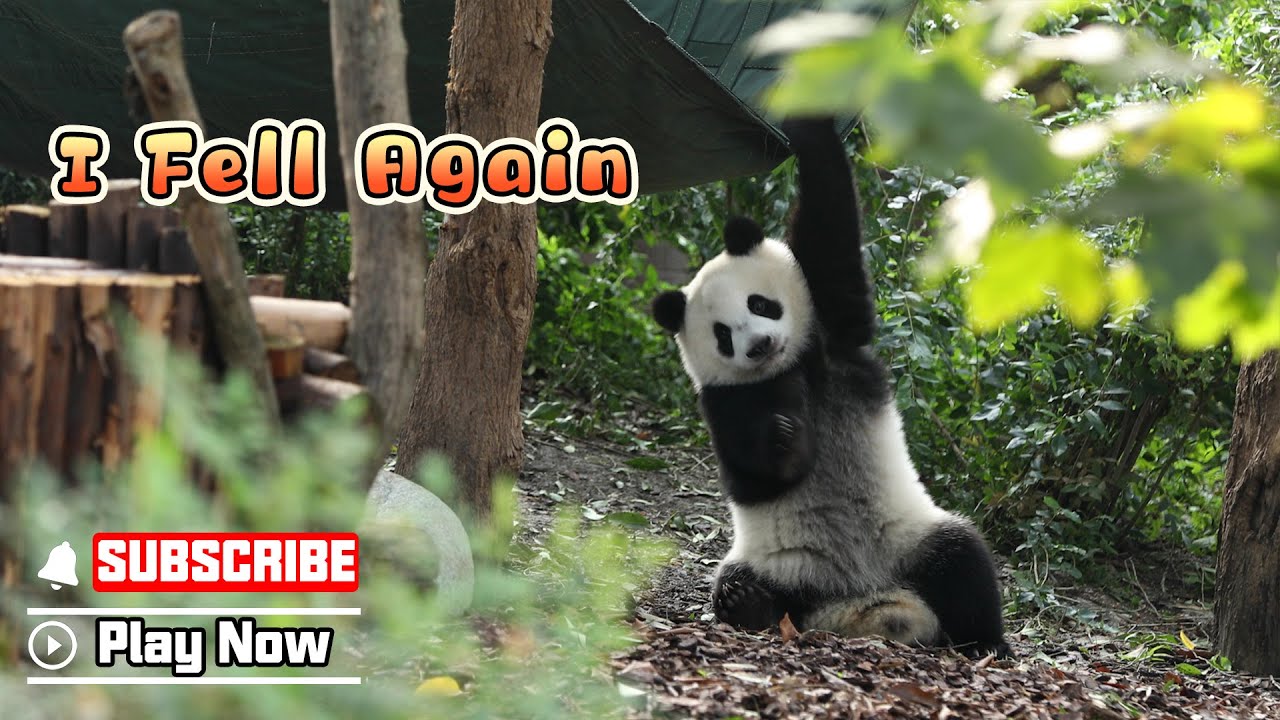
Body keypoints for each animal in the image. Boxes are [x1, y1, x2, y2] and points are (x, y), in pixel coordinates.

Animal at [651, 116, 1008, 658]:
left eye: (760, 303)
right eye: (723, 335)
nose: (760, 345)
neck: (788, 368)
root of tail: (865, 598)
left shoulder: (835, 339)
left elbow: (829, 235)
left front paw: (802, 121)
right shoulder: (724, 401)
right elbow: (747, 477)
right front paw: (784, 440)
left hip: (908, 534)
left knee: (962, 563)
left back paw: (986, 644)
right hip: (780, 560)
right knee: (742, 584)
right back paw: (749, 603)